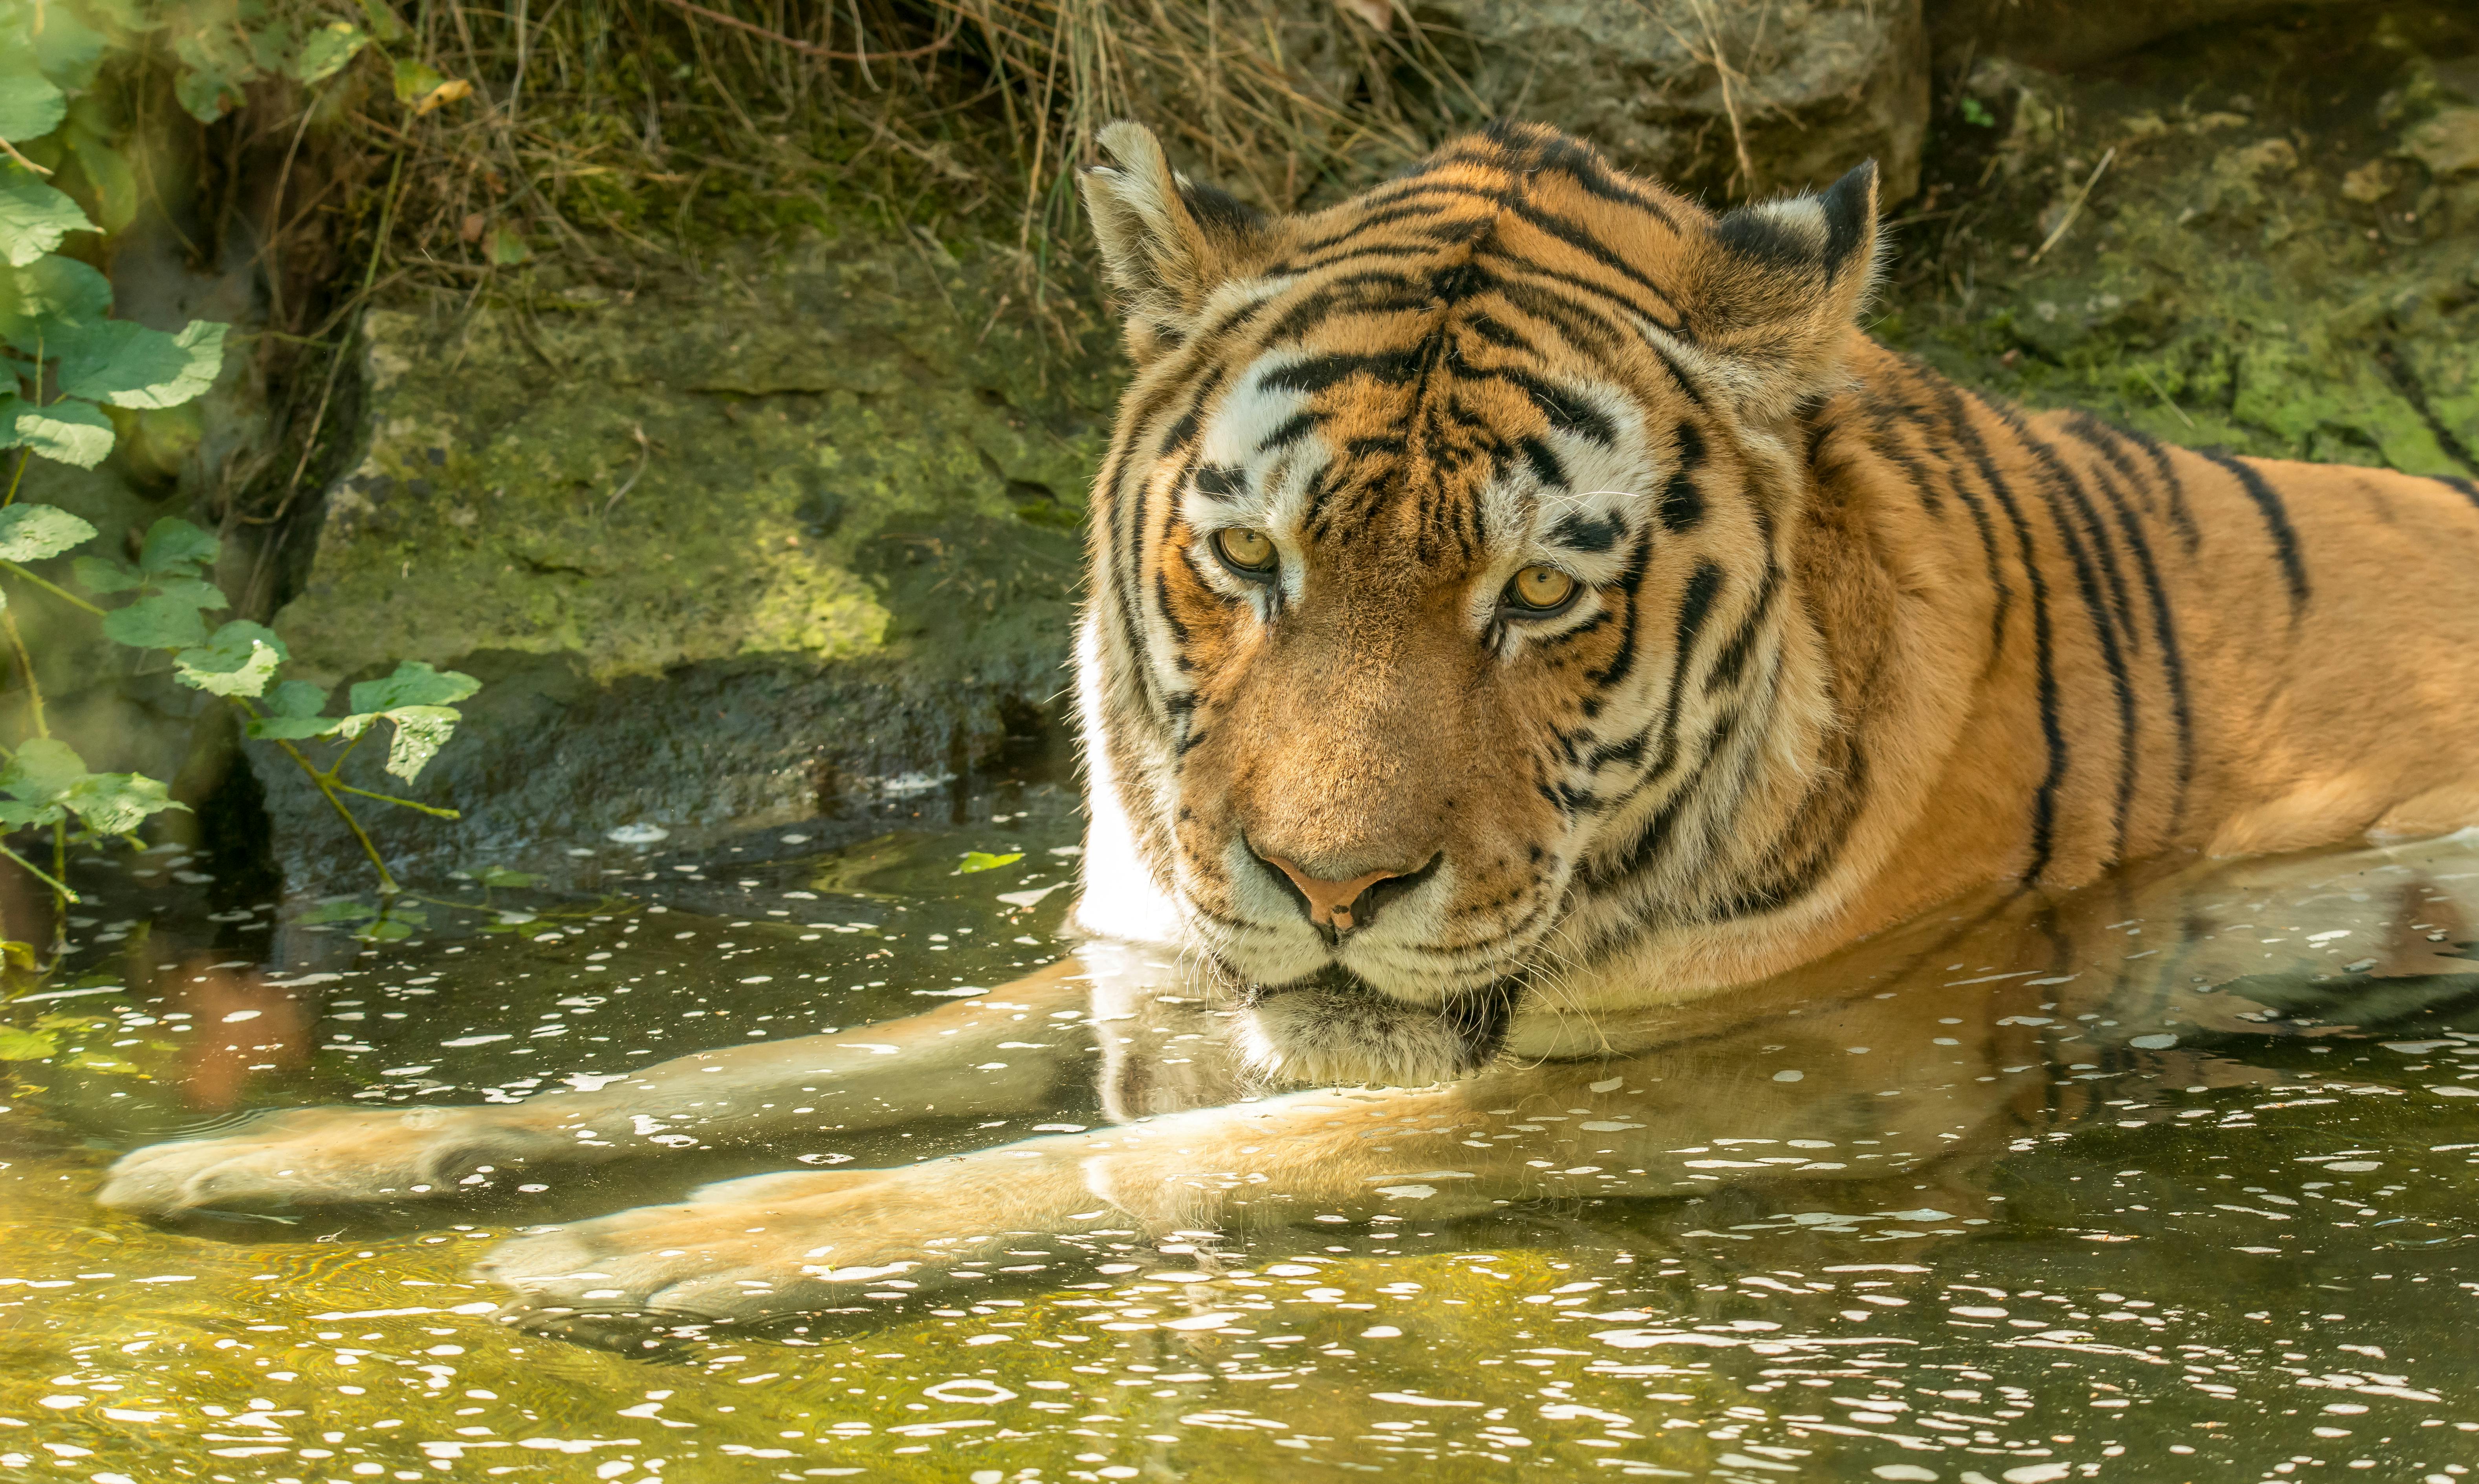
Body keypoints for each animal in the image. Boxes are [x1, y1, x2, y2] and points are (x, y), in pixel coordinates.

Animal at [98, 121, 2479, 1333]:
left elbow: (1126, 1155)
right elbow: (711, 1070)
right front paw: (267, 1148)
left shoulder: (1782, 1071)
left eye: (1543, 595)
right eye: (1245, 560)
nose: (1332, 887)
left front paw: (643, 1252)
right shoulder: (1136, 956)